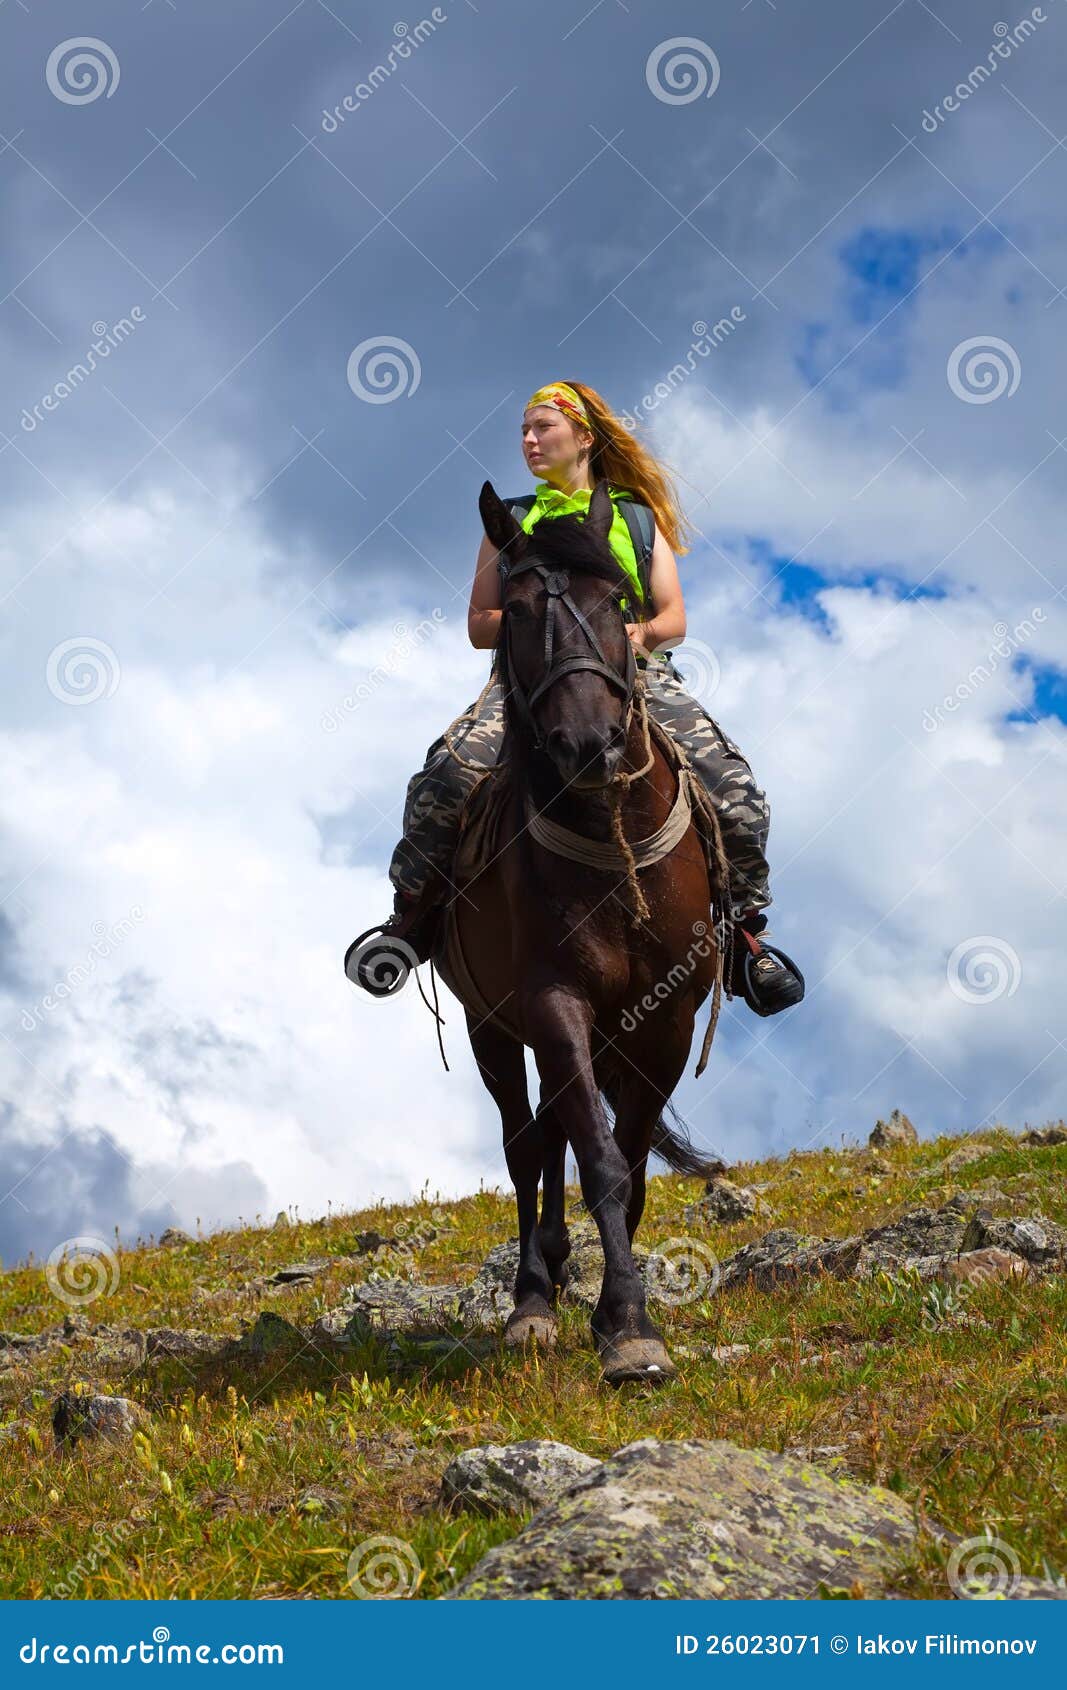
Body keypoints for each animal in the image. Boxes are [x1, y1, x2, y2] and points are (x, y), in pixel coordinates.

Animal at [432, 479, 729, 1383]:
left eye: (618, 602)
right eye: (521, 608)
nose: (588, 745)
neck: (607, 836)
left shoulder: (662, 1018)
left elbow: (627, 1162)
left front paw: (615, 1316)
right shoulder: (552, 1000)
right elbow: (593, 1157)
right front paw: (627, 1326)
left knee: (556, 1128)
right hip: (491, 1024)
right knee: (527, 1143)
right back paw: (533, 1297)